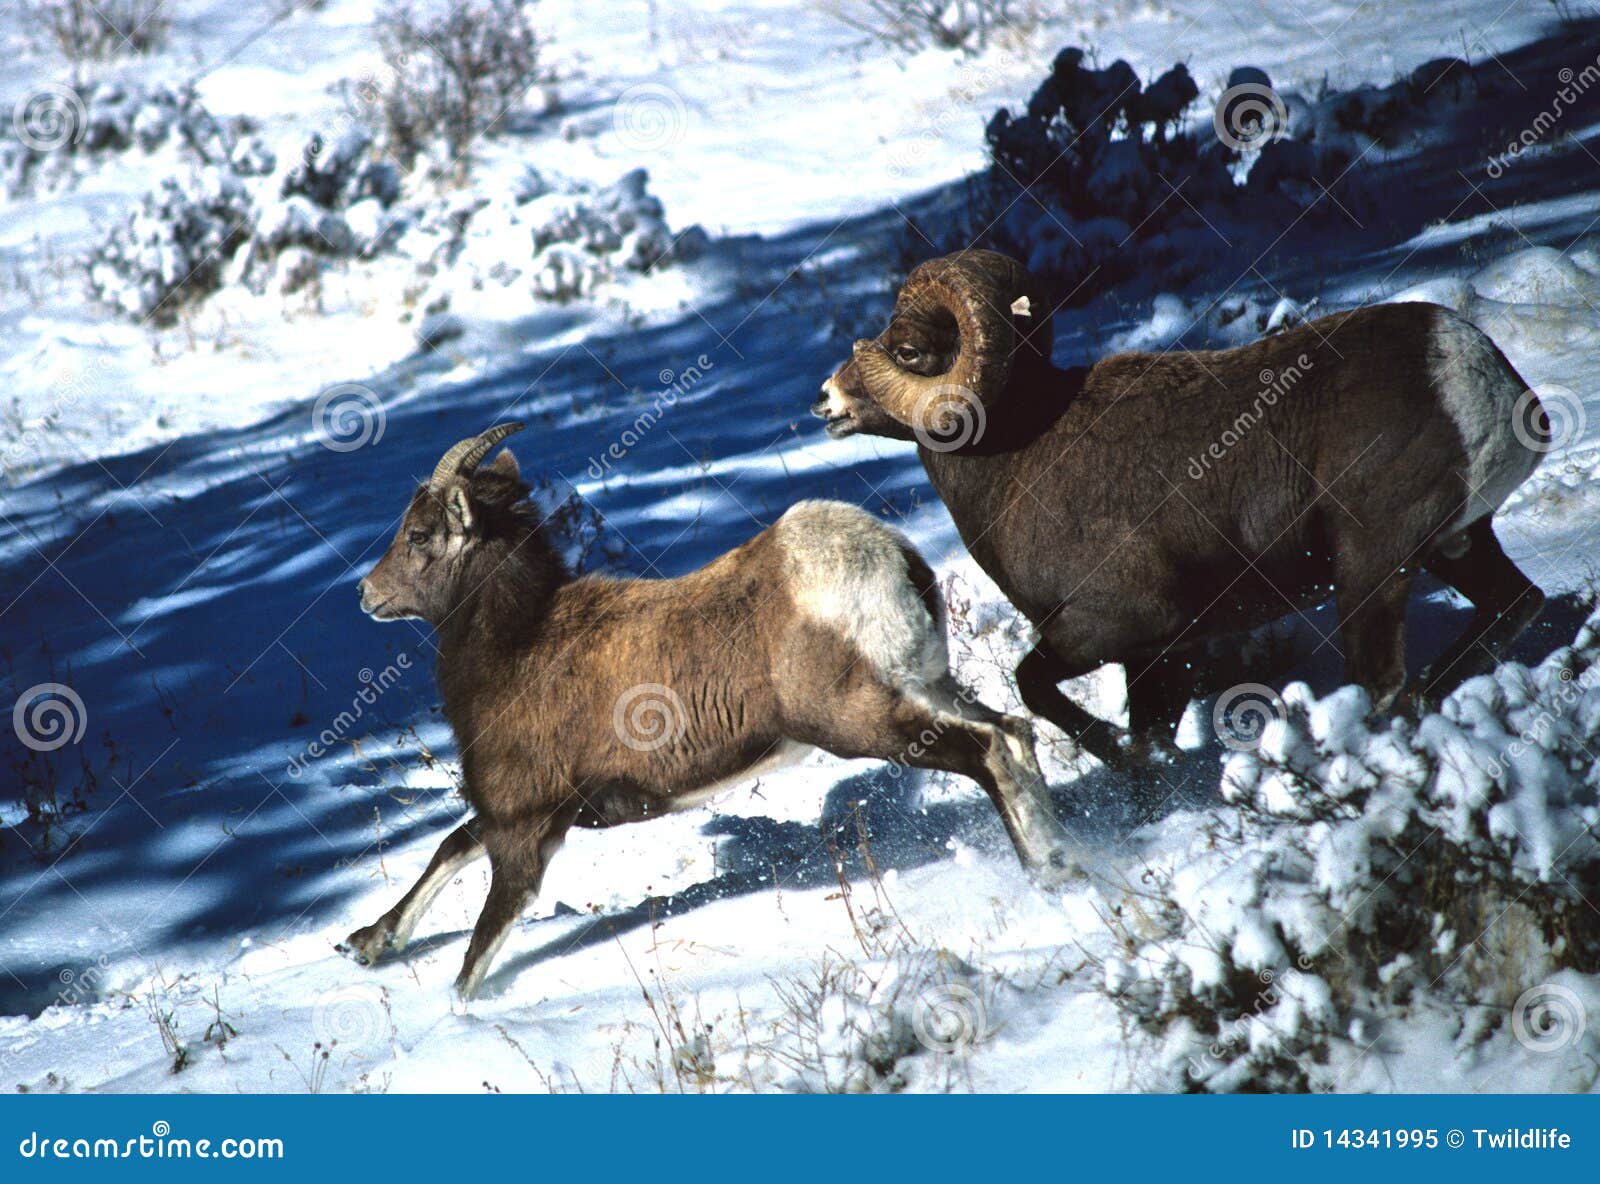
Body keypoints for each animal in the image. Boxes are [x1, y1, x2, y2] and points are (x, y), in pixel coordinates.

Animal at [341, 422, 1067, 998]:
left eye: (419, 535)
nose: (366, 594)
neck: (517, 644)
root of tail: (892, 562)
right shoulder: (522, 816)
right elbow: (451, 845)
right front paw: (367, 943)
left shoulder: (524, 827)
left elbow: (477, 949)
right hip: (929, 690)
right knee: (1013, 733)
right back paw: (1066, 861)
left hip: (864, 722)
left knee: (987, 750)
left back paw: (1048, 876)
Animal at [814, 249, 1546, 766]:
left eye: (907, 351)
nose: (826, 401)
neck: (1014, 459)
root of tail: (1479, 381)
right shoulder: (1160, 657)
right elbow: (1150, 739)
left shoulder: (1116, 629)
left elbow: (1036, 686)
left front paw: (1115, 756)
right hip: (1457, 547)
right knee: (1513, 608)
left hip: (1370, 569)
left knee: (1380, 683)